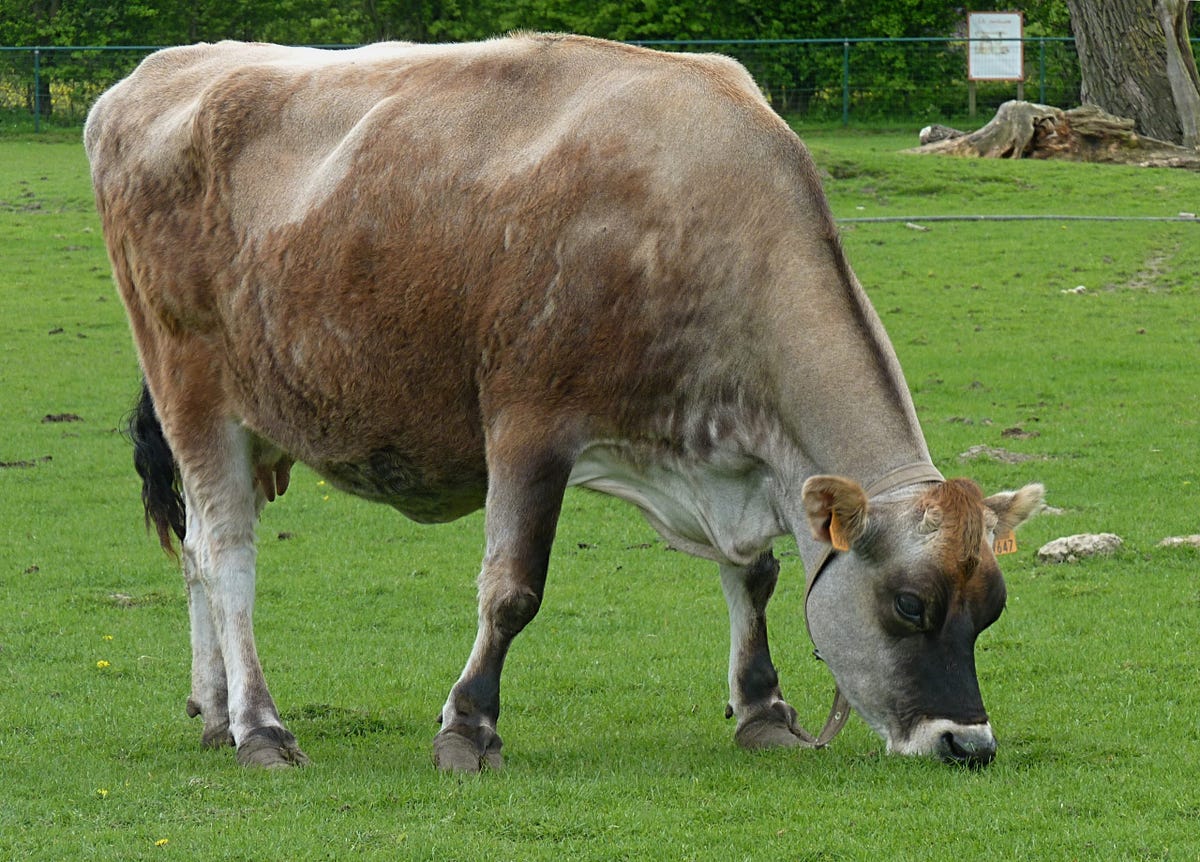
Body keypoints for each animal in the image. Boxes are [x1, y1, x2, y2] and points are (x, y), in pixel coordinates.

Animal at [84, 34, 1043, 773]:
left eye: (991, 609)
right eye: (909, 604)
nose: (968, 744)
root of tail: (162, 70)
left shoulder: (732, 455)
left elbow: (756, 574)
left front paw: (764, 709)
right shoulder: (528, 423)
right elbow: (512, 591)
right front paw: (468, 728)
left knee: (197, 554)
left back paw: (215, 713)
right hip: (192, 389)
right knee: (227, 555)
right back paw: (259, 727)